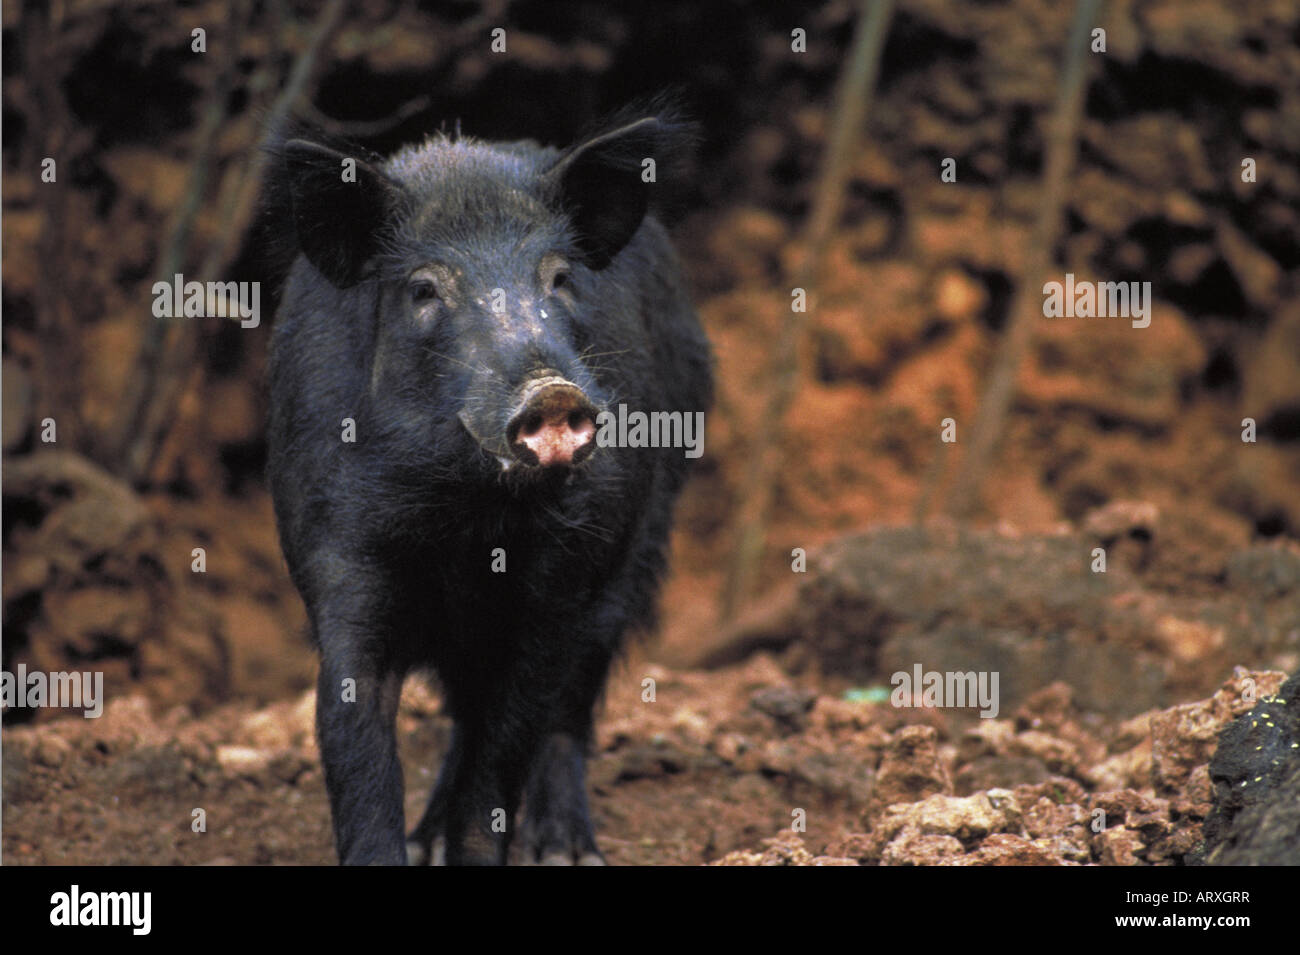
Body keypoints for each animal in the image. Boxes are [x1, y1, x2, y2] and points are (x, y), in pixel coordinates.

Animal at [265, 105, 712, 865]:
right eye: (424, 289)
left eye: (558, 278)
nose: (552, 391)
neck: (466, 522)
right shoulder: (338, 555)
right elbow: (356, 745)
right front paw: (403, 848)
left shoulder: (558, 587)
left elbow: (505, 756)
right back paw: (428, 842)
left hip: (636, 550)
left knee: (568, 710)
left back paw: (565, 852)